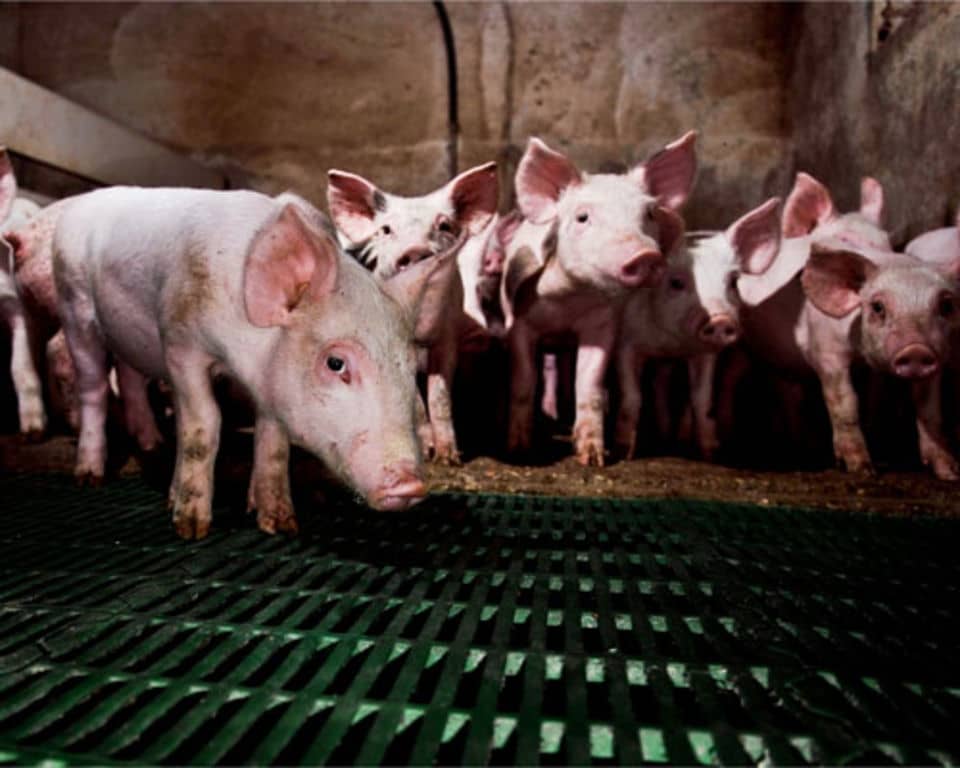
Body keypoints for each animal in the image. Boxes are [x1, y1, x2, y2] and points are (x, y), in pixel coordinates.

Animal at [53, 186, 442, 539]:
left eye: (409, 366)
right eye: (335, 363)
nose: (411, 485)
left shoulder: (270, 380)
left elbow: (273, 442)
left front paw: (278, 523)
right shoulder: (181, 344)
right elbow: (204, 425)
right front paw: (191, 529)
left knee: (130, 377)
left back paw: (154, 448)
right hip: (74, 304)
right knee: (93, 387)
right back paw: (89, 477)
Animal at [327, 163, 498, 465]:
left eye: (444, 225)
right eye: (385, 229)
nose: (415, 252)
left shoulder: (447, 336)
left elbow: (440, 395)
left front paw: (449, 457)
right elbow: (414, 401)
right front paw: (427, 452)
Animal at [501, 132, 696, 465]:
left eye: (649, 214)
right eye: (582, 217)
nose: (645, 255)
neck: (568, 299)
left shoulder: (602, 325)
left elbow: (590, 384)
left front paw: (592, 459)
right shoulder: (521, 322)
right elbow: (524, 380)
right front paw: (519, 450)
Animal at [615, 197, 782, 460]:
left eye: (733, 281)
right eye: (676, 282)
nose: (720, 319)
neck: (672, 344)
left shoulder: (705, 355)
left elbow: (702, 399)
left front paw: (710, 453)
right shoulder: (626, 342)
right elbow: (632, 396)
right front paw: (624, 452)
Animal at [734, 173, 959, 478]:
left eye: (945, 306)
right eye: (877, 307)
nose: (915, 350)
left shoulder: (936, 356)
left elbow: (929, 409)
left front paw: (949, 472)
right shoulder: (825, 351)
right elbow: (845, 402)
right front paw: (861, 468)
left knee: (788, 392)